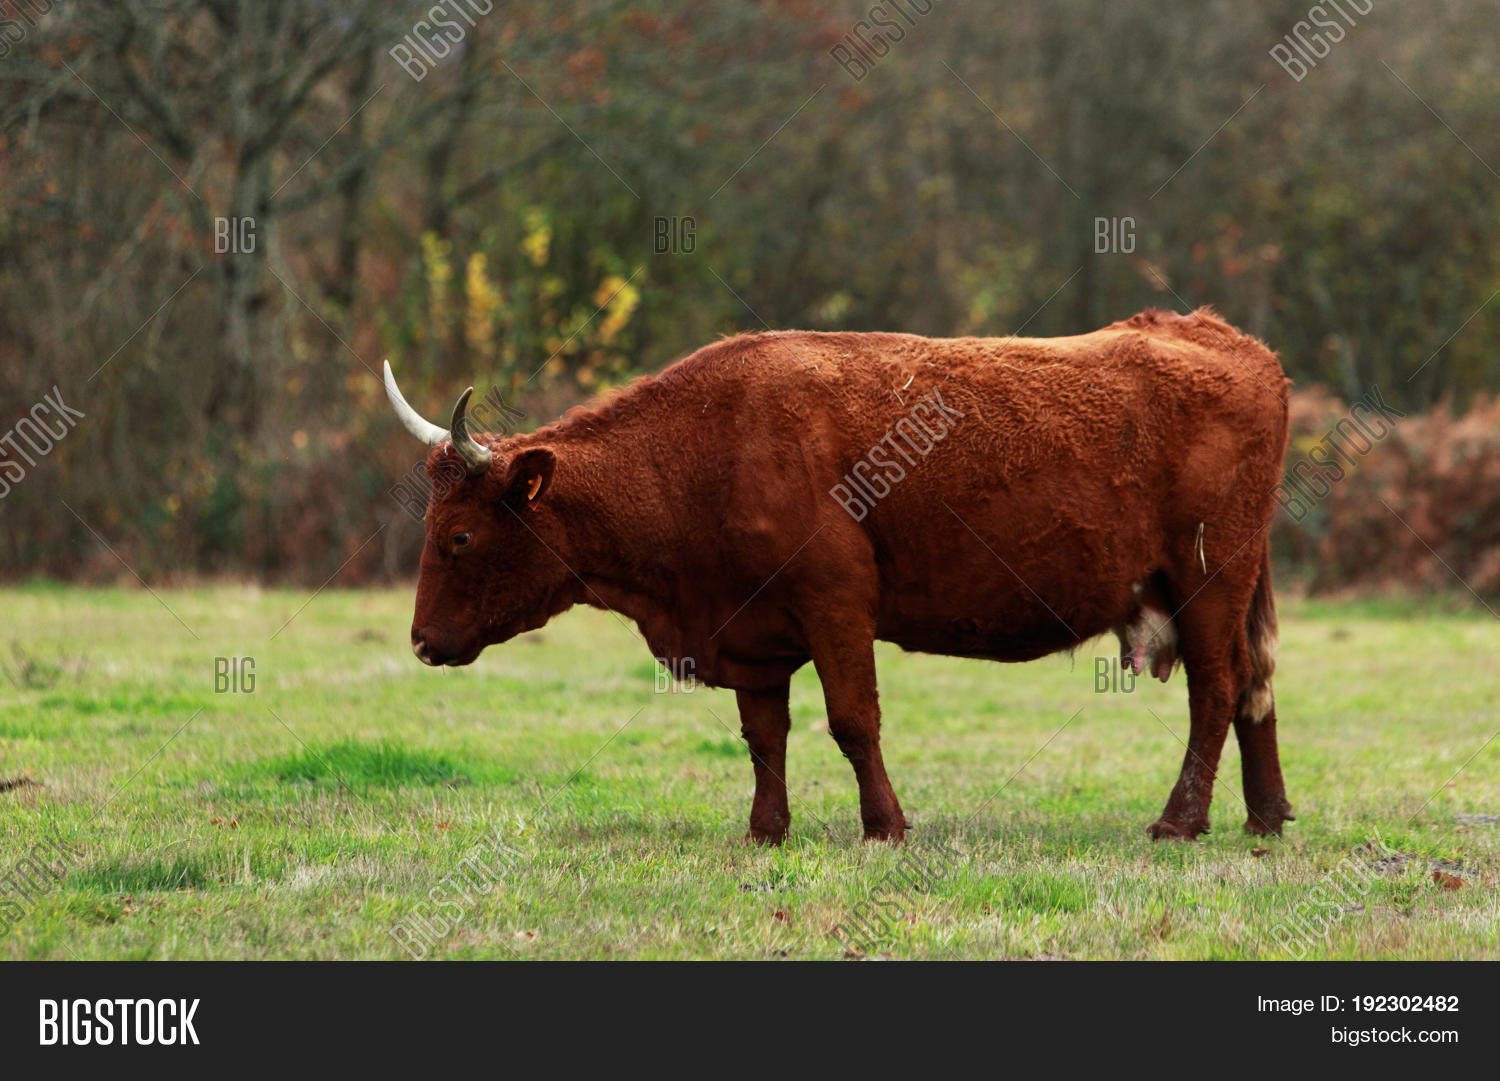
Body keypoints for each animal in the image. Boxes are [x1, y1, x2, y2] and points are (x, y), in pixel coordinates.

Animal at [383, 306, 1292, 844]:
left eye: (459, 536)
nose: (422, 641)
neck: (704, 454)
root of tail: (1219, 333)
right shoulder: (750, 634)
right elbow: (764, 736)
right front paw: (766, 829)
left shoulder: (837, 603)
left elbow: (854, 722)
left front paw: (885, 825)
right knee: (1255, 686)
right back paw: (1266, 815)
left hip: (1210, 579)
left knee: (1216, 691)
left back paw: (1182, 821)